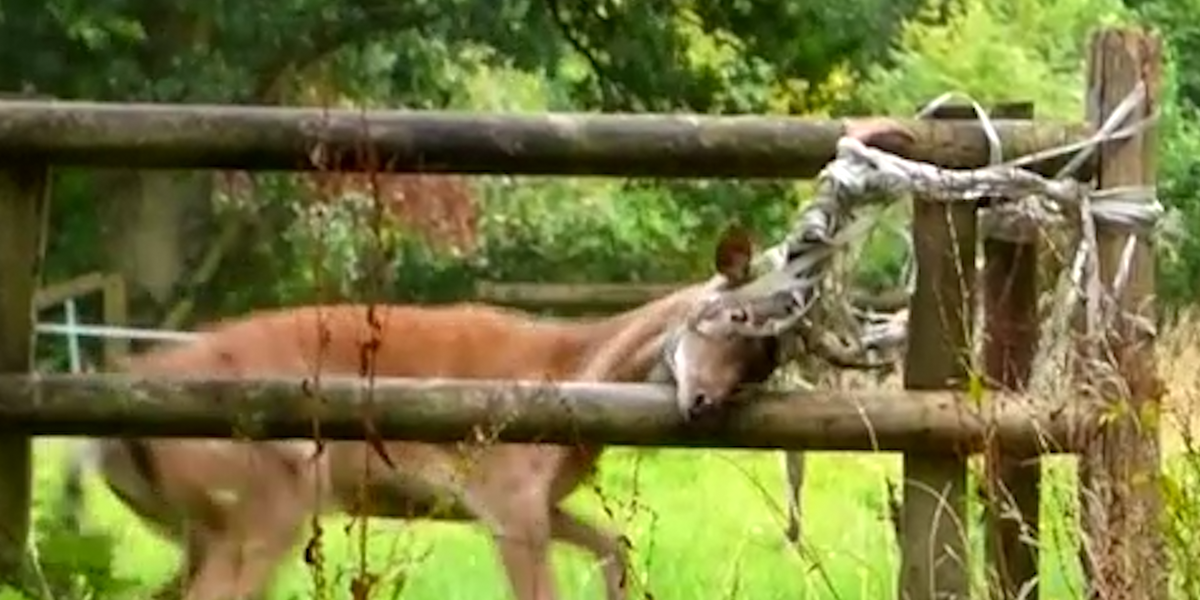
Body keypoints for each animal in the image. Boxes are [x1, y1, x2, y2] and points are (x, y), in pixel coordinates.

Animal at [59, 118, 915, 600]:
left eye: (767, 362)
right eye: (732, 316)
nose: (701, 405)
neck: (575, 373)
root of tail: (106, 430)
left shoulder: (533, 499)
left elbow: (616, 547)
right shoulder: (506, 495)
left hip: (203, 518)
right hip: (258, 497)